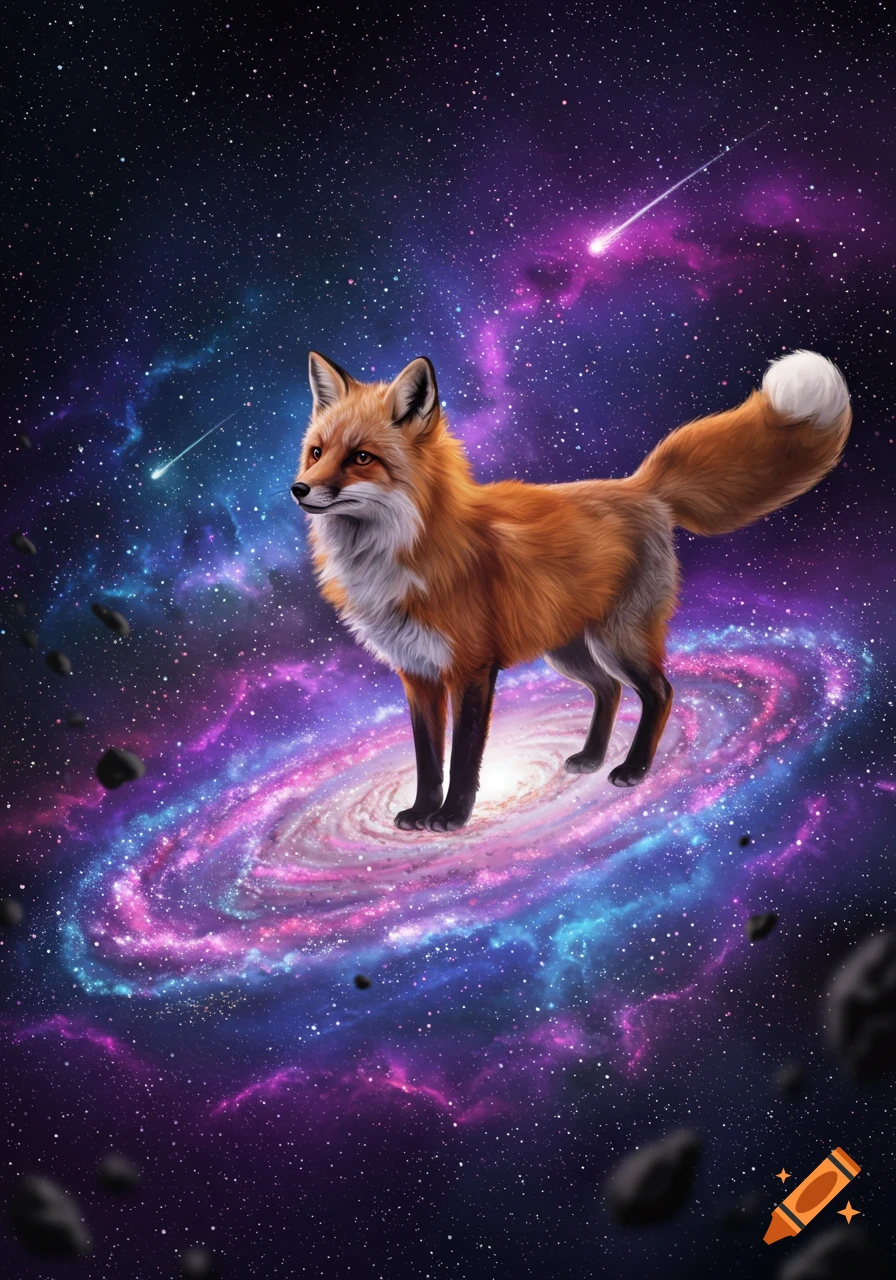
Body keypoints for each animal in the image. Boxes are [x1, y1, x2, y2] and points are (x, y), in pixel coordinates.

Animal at [291, 348, 851, 832]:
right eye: (316, 452)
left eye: (361, 458)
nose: (298, 489)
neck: (402, 550)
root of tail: (640, 487)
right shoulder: (419, 674)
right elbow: (428, 759)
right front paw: (421, 812)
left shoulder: (471, 669)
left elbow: (465, 755)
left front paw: (451, 817)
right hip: (568, 649)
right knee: (610, 690)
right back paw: (593, 757)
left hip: (618, 640)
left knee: (660, 692)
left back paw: (633, 769)